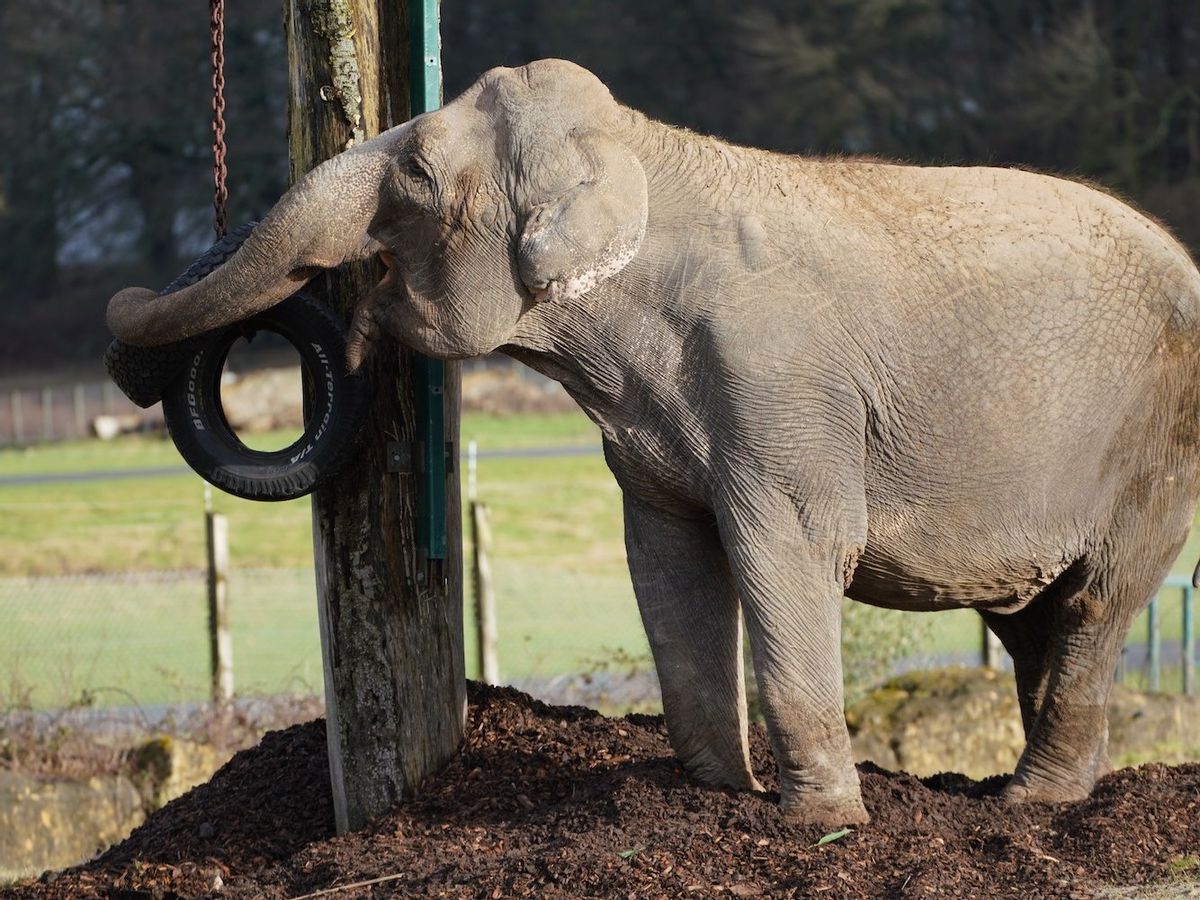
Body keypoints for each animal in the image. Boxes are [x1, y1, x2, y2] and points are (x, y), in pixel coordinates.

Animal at [107, 59, 1200, 827]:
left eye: (415, 173)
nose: (125, 319)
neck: (639, 148)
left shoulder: (779, 385)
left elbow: (791, 547)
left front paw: (816, 825)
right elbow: (668, 556)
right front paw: (720, 794)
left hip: (1161, 440)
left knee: (1098, 600)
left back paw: (1031, 805)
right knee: (1033, 621)